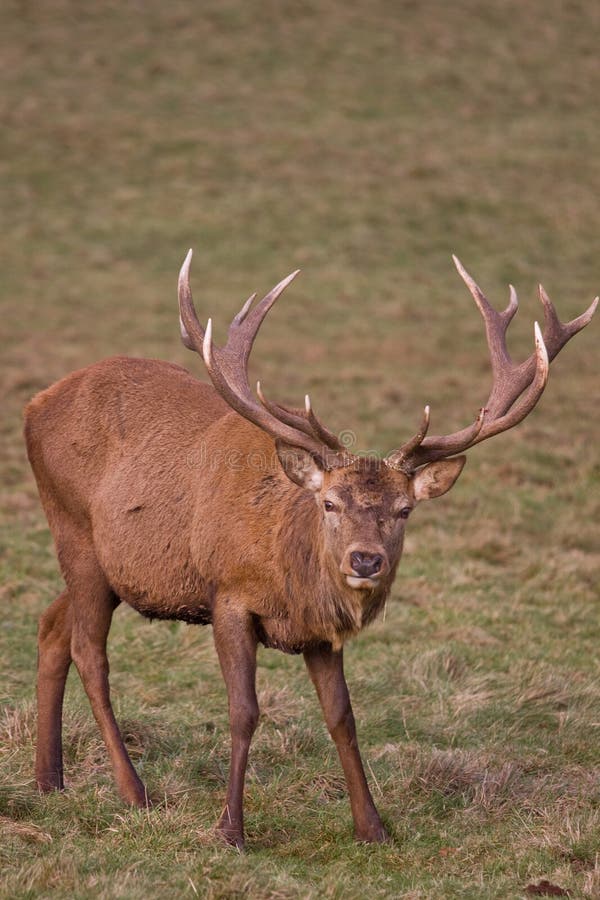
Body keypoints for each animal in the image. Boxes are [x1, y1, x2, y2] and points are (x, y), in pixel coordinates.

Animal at [24, 250, 597, 849]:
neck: (289, 574)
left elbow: (343, 716)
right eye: (330, 503)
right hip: (76, 532)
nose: (365, 560)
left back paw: (49, 779)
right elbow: (244, 711)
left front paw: (372, 827)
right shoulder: (228, 596)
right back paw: (134, 791)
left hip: (110, 567)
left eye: (404, 510)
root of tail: (34, 405)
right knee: (90, 651)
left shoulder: (322, 633)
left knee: (52, 625)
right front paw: (230, 828)